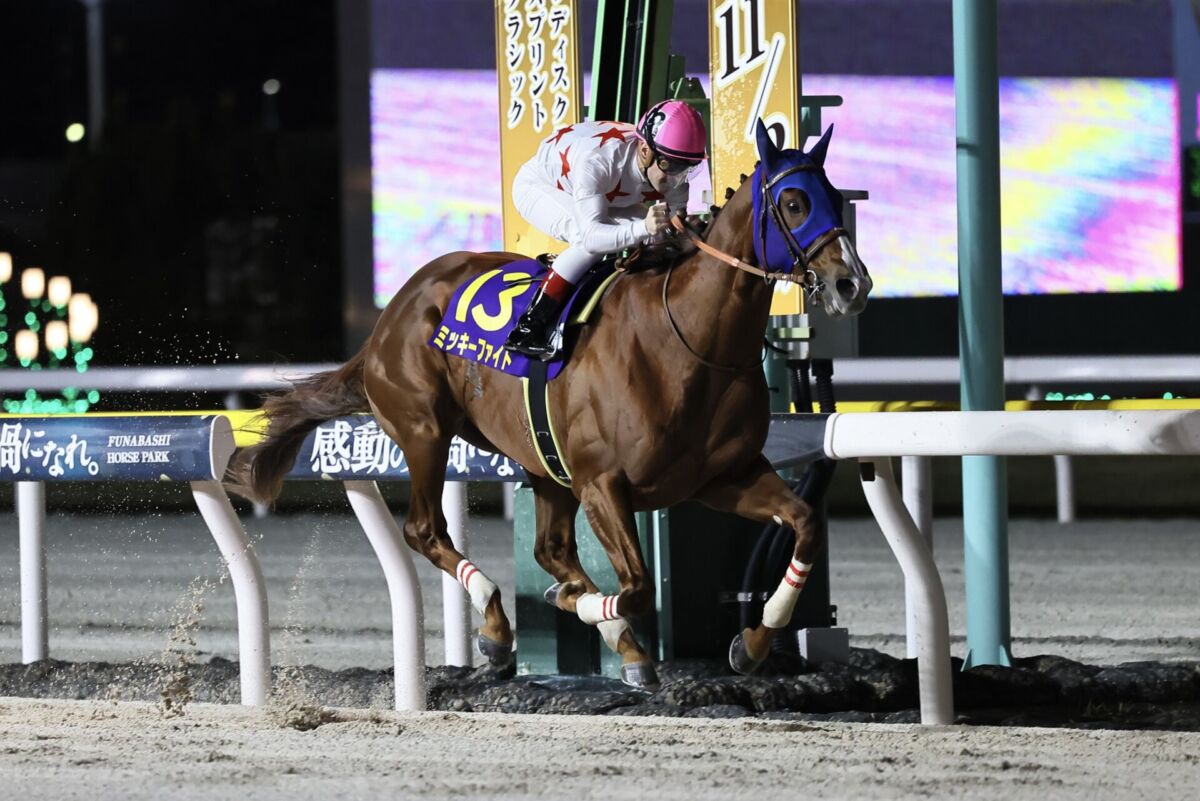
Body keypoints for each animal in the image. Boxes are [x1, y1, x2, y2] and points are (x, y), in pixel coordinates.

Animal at [231, 120, 871, 688]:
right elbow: (637, 586)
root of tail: (391, 314)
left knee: (549, 548)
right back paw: (498, 625)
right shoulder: (603, 483)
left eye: (837, 197)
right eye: (793, 201)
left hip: (542, 459)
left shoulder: (722, 477)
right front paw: (586, 611)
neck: (688, 340)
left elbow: (804, 525)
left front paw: (754, 641)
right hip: (424, 430)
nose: (852, 285)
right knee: (425, 529)